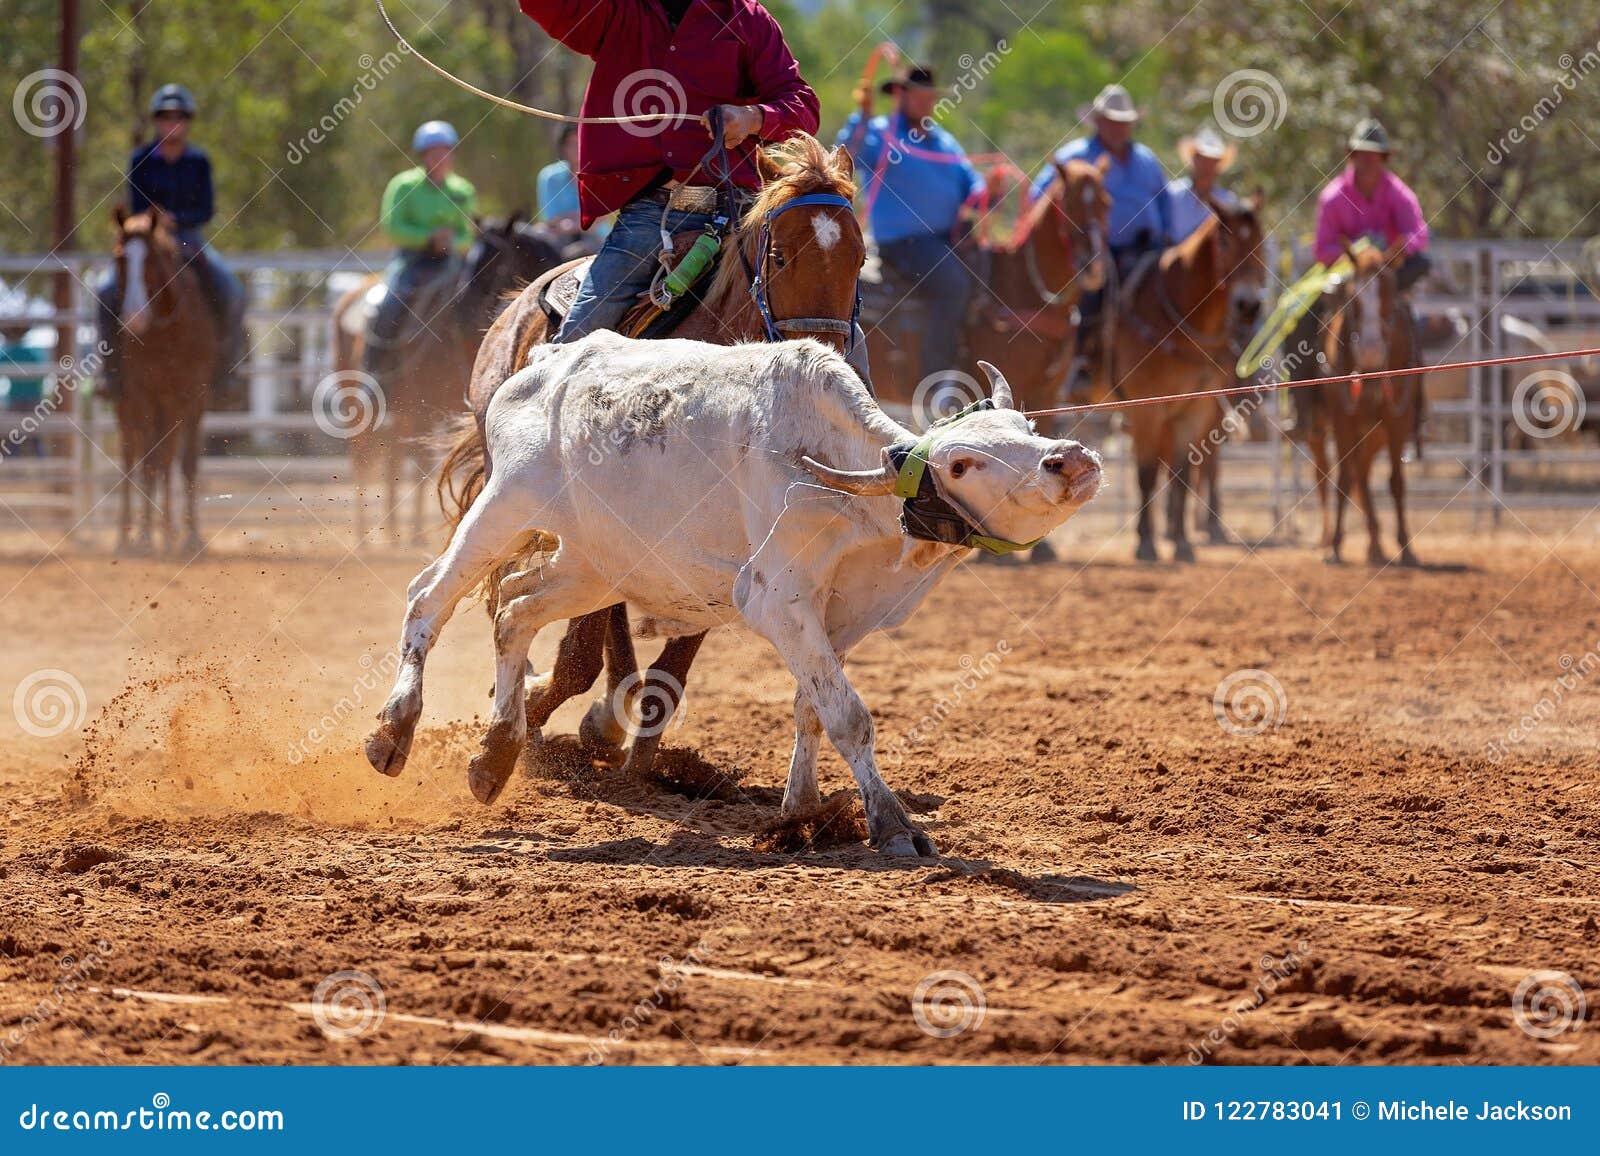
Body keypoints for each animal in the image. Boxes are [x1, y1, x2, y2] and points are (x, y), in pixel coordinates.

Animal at [365, 332, 1103, 856]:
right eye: (960, 463)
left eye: (1027, 428)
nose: (1071, 459)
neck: (831, 475)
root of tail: (540, 366)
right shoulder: (779, 601)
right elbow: (848, 716)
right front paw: (892, 824)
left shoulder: (840, 612)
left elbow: (811, 708)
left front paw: (802, 812)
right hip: (503, 507)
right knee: (428, 597)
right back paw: (395, 732)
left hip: (595, 564)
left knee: (515, 610)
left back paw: (494, 756)